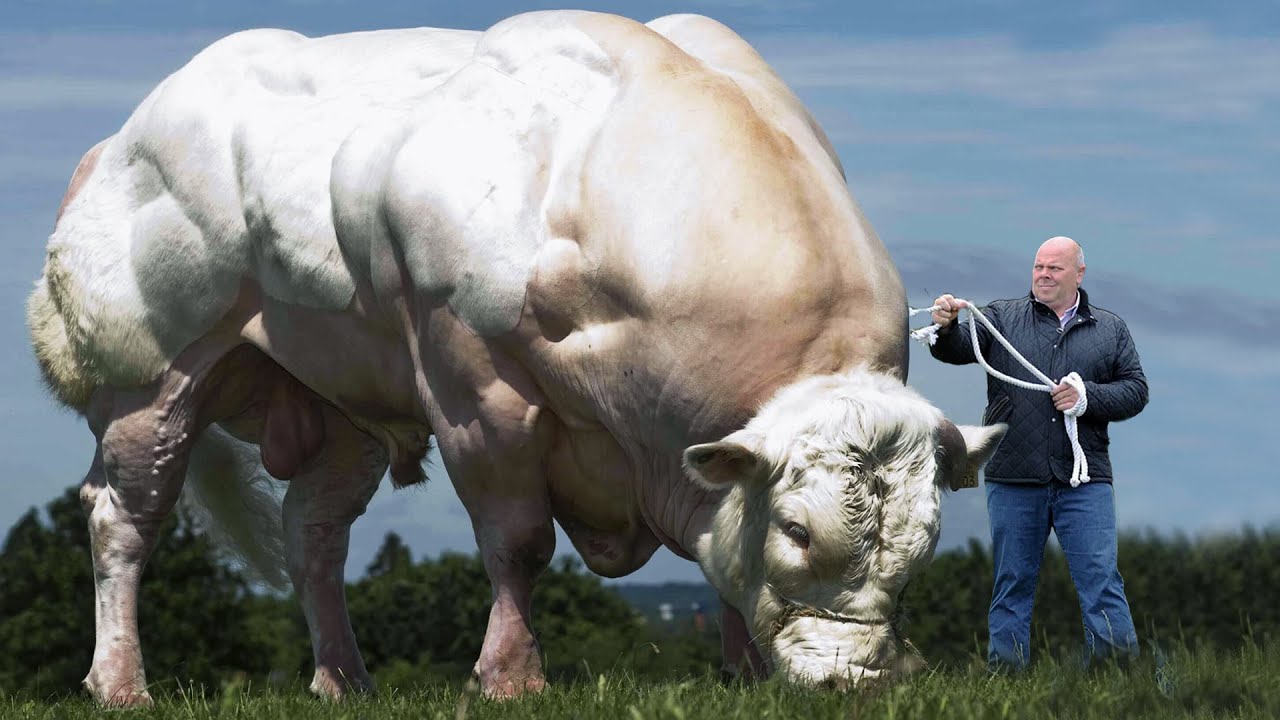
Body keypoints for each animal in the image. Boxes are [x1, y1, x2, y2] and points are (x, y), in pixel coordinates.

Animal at [26, 10, 1005, 706]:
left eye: (924, 545)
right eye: (799, 531)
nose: (855, 680)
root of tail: (120, 141)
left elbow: (724, 556)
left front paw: (747, 675)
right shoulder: (473, 383)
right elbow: (520, 540)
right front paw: (510, 676)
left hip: (341, 407)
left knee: (315, 535)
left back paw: (344, 681)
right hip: (148, 376)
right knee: (124, 518)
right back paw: (121, 684)